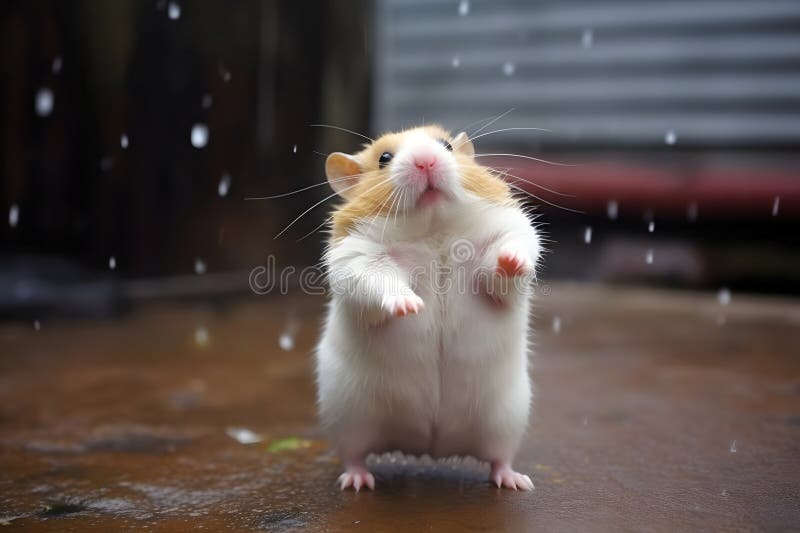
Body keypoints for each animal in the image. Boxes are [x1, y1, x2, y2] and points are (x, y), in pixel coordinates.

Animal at [315, 125, 540, 491]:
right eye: (384, 158)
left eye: (446, 145)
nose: (426, 161)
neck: (434, 225)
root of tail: (430, 446)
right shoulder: (358, 261)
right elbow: (382, 281)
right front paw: (411, 306)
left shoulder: (506, 237)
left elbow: (505, 262)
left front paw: (512, 260)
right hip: (347, 415)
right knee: (354, 454)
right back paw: (357, 482)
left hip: (507, 419)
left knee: (500, 458)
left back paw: (516, 481)